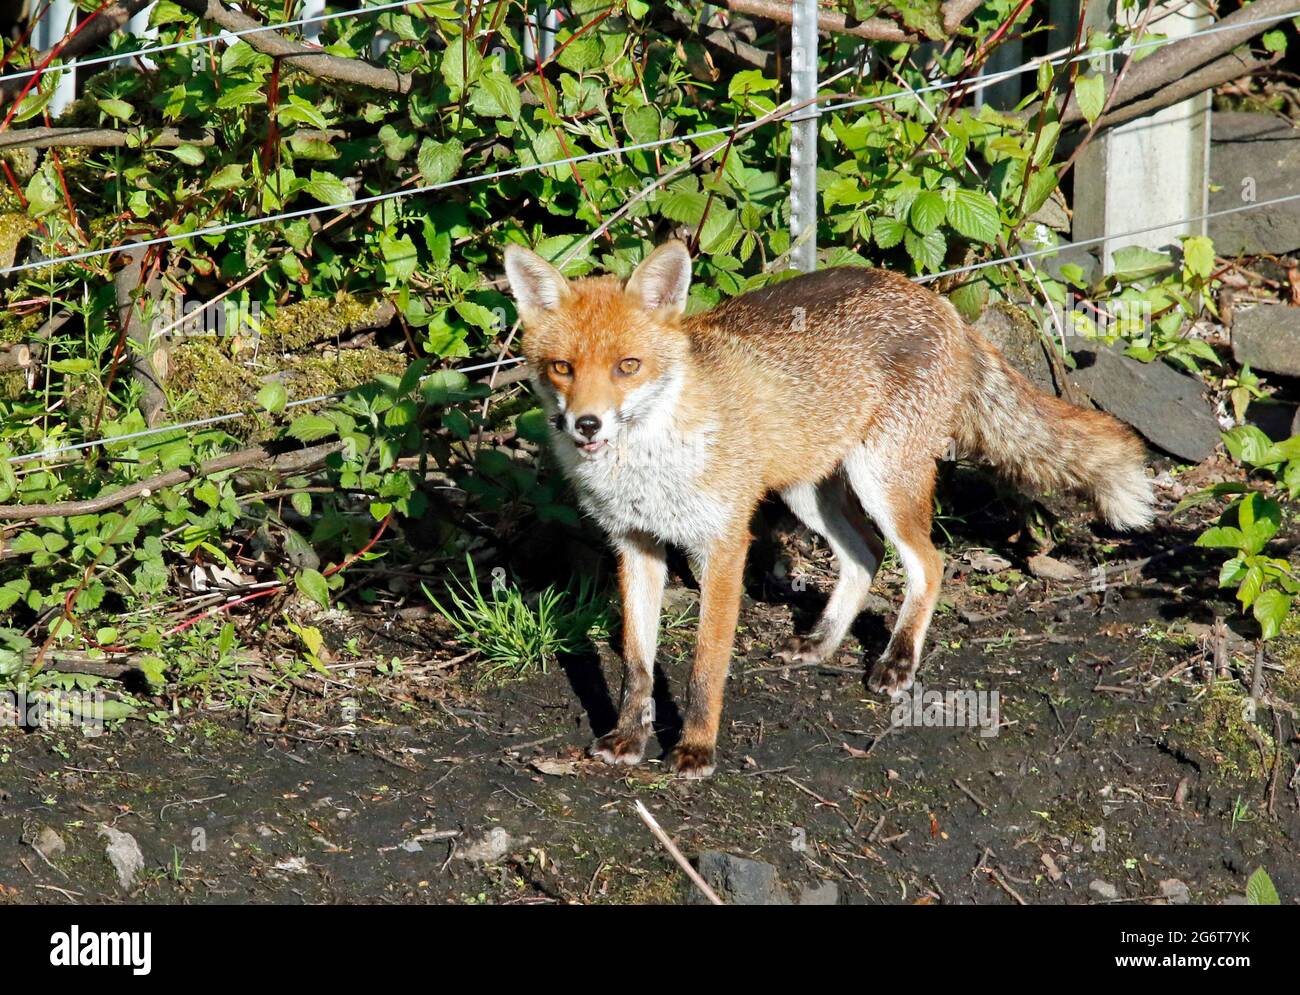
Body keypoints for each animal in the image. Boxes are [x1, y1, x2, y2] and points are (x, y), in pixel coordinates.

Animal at [503, 239, 1154, 778]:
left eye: (627, 367)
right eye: (563, 368)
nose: (587, 424)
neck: (647, 464)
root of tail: (934, 299)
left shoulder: (723, 541)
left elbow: (705, 664)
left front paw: (696, 748)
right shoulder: (635, 544)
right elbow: (638, 663)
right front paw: (628, 738)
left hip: (881, 481)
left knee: (928, 563)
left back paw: (897, 662)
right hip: (808, 488)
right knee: (864, 555)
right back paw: (821, 644)